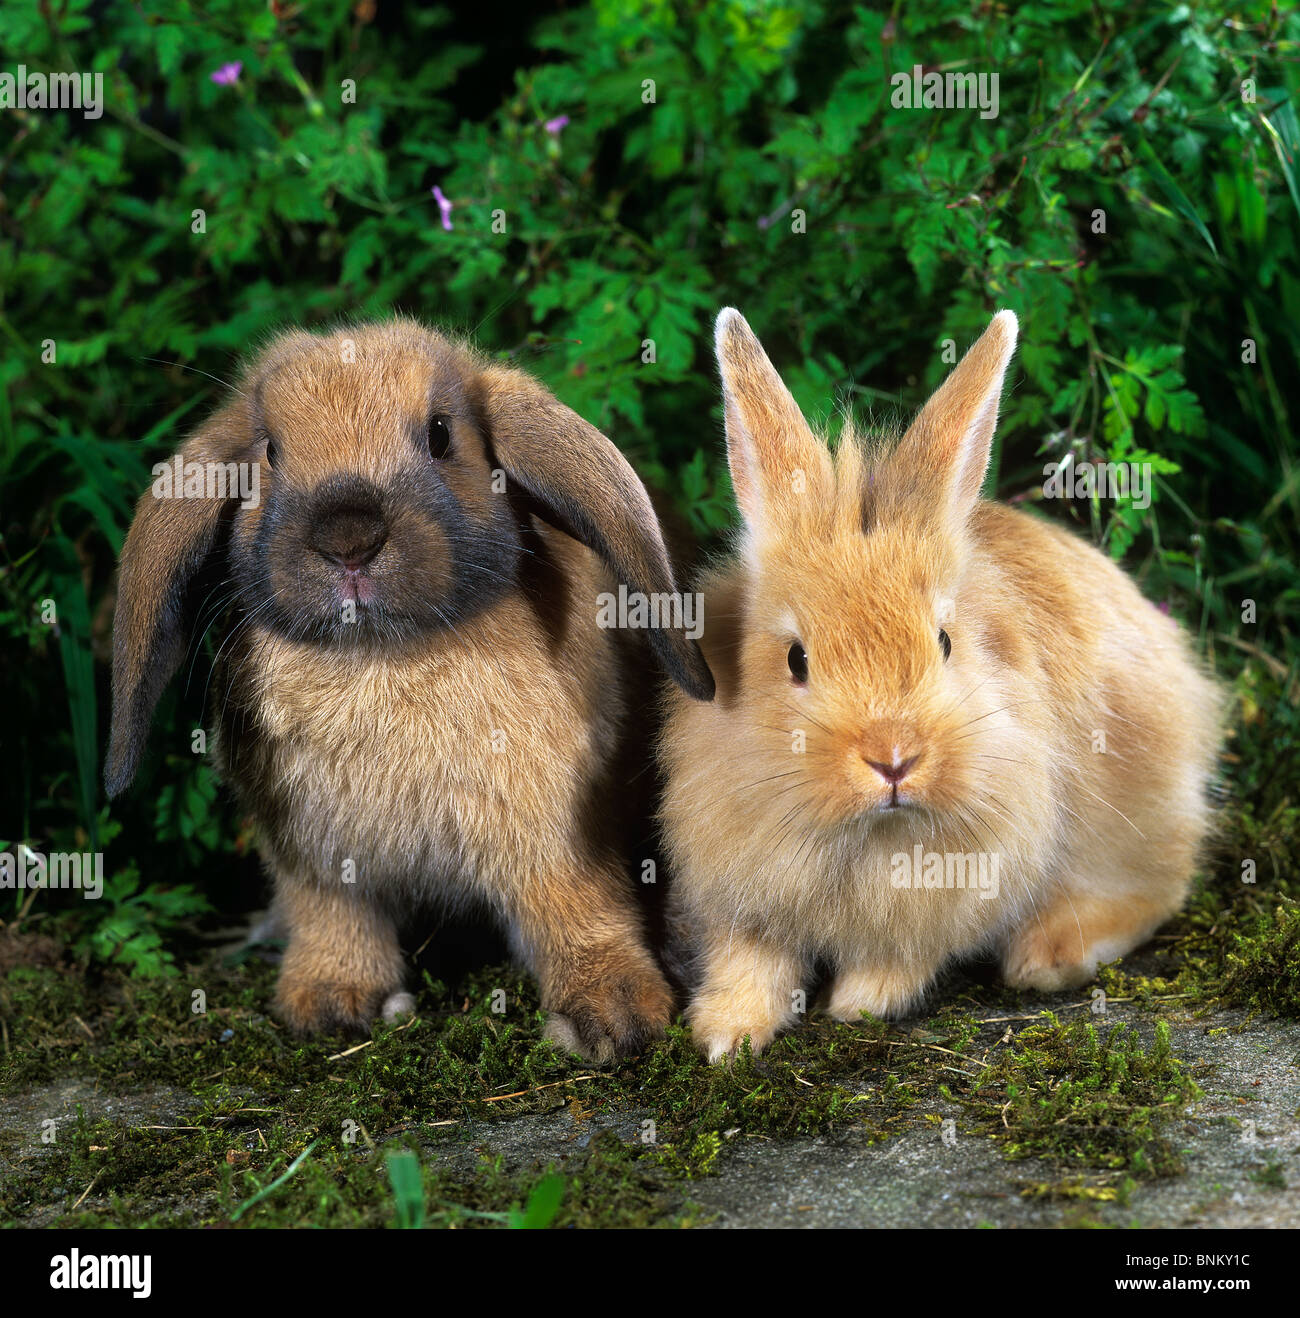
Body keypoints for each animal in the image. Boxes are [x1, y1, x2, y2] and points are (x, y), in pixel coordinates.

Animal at [105, 317, 714, 1061]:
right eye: (270, 451)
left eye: (441, 434)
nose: (348, 539)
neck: (382, 655)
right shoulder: (314, 859)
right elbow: (334, 919)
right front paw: (330, 1006)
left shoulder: (565, 837)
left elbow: (578, 905)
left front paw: (617, 1019)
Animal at [659, 307, 1224, 1062]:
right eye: (796, 660)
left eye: (945, 642)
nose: (893, 759)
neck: (867, 833)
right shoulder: (737, 889)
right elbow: (749, 960)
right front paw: (726, 1036)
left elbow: (901, 956)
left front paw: (859, 1006)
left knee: (1155, 886)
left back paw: (1047, 956)